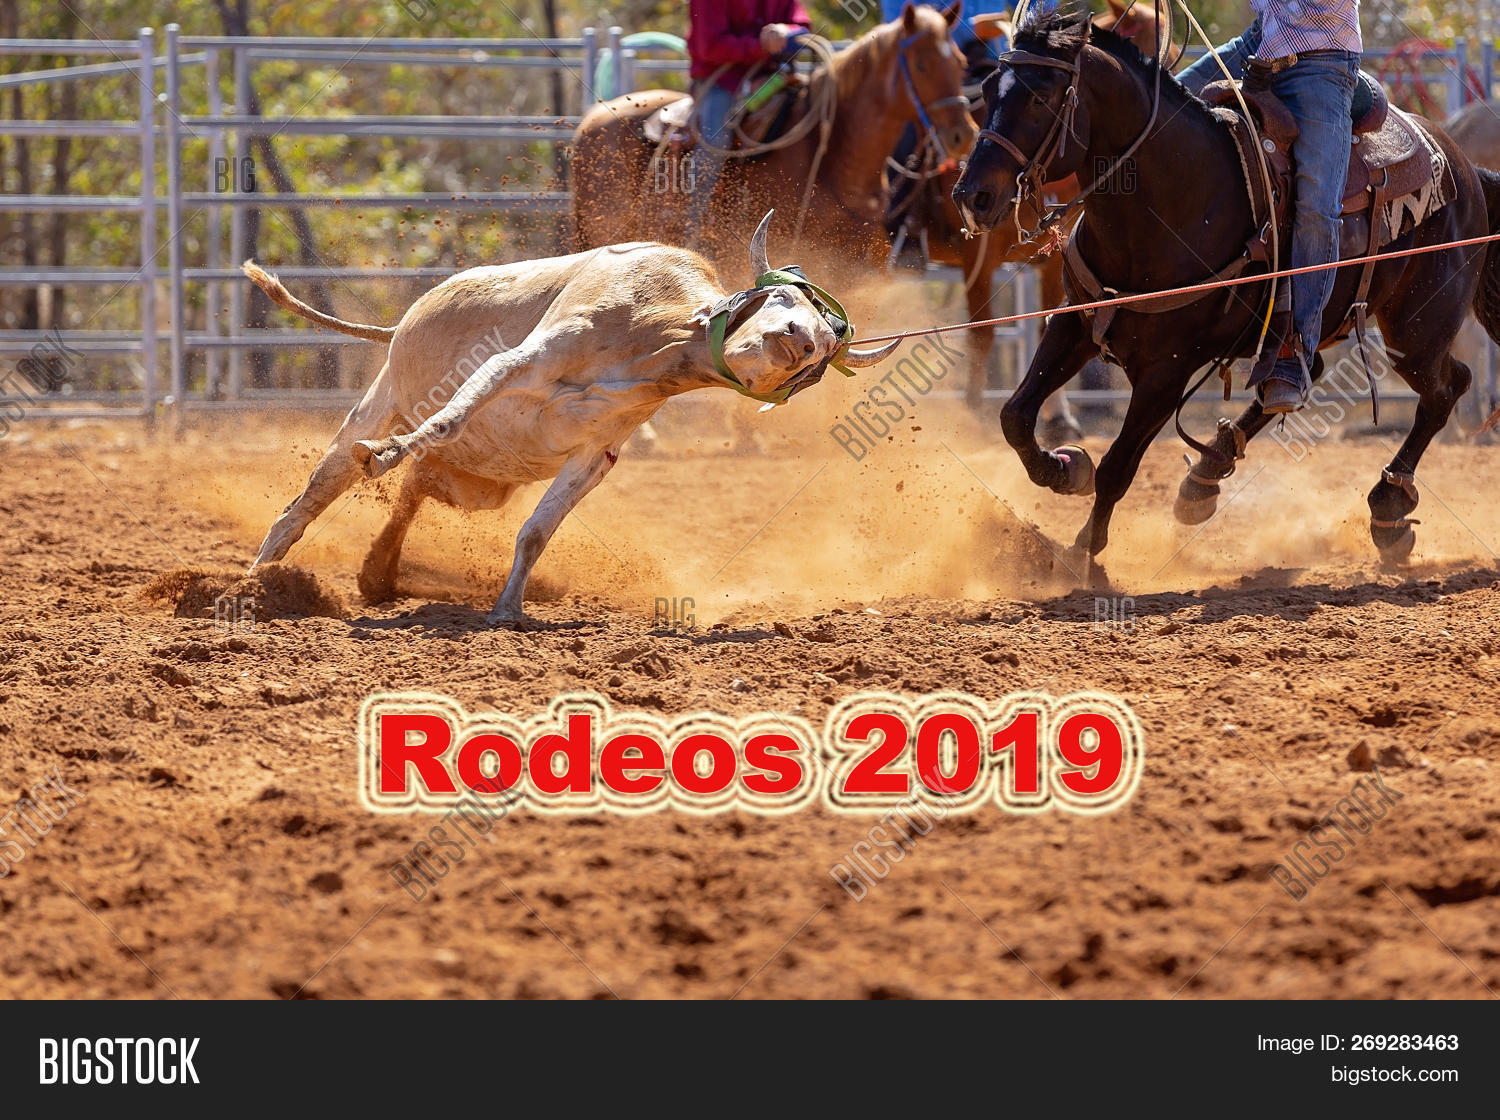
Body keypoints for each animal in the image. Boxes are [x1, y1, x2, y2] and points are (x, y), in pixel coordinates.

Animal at [244, 212, 897, 624]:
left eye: (824, 352)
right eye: (783, 300)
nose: (796, 340)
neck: (655, 338)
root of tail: (400, 322)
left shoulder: (596, 455)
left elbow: (537, 531)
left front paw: (508, 610)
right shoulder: (516, 362)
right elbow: (446, 419)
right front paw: (385, 453)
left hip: (484, 484)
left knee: (417, 488)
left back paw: (377, 573)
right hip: (380, 403)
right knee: (318, 491)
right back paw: (259, 577)